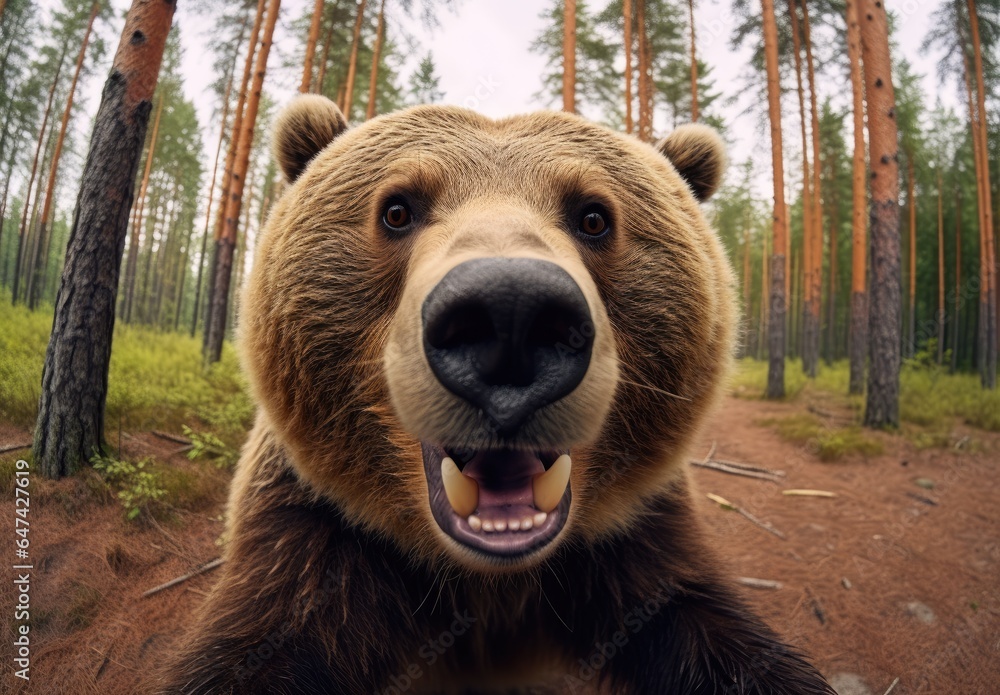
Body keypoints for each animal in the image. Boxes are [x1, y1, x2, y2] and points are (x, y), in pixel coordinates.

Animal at [158, 94, 833, 694]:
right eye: (396, 209)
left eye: (594, 216)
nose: (511, 313)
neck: (489, 580)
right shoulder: (315, 532)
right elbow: (266, 644)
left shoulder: (638, 540)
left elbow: (711, 634)